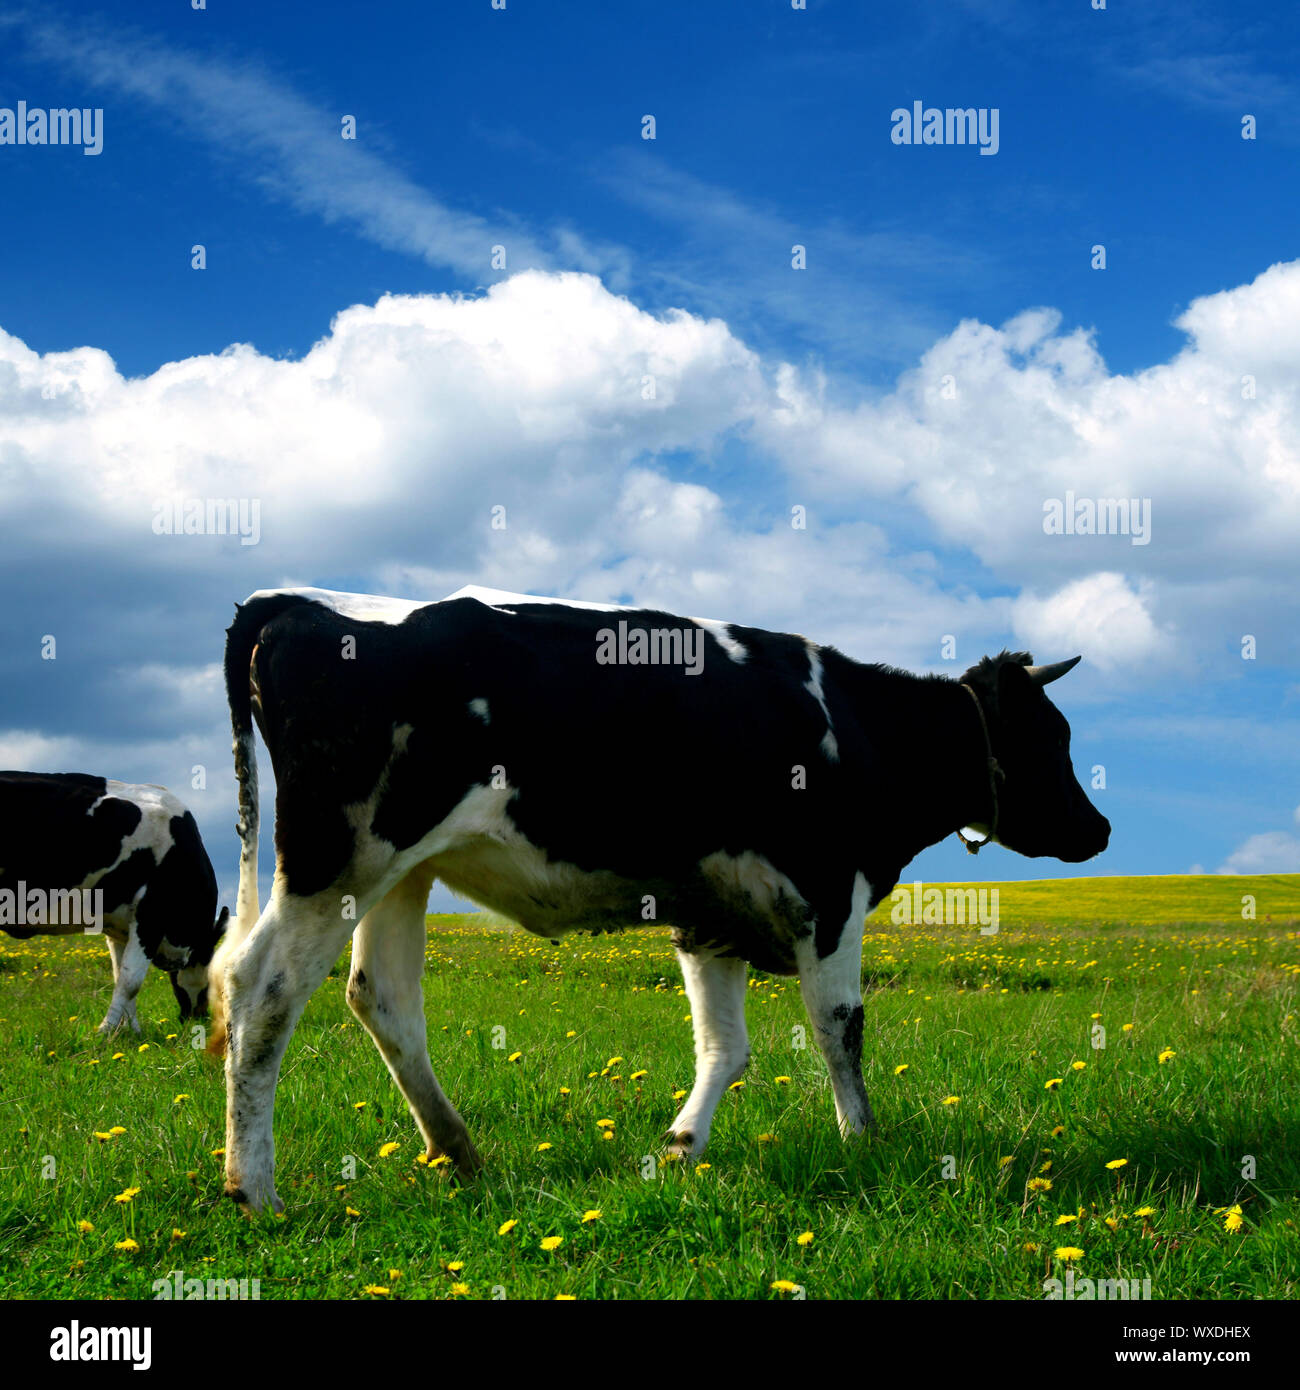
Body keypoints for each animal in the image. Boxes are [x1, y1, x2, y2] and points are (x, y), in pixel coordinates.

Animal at [0, 773, 228, 1033]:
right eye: (211, 970)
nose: (197, 1017)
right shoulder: (150, 917)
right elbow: (131, 982)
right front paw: (104, 1031)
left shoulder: (119, 927)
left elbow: (120, 975)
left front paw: (131, 1031)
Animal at [208, 584, 1109, 1213]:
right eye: (1054, 736)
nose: (1100, 828)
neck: (862, 730)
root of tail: (289, 602)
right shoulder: (830, 892)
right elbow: (839, 1027)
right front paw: (863, 1142)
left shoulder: (711, 916)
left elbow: (726, 1048)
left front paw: (683, 1146)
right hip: (339, 858)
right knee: (262, 989)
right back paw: (256, 1188)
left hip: (399, 873)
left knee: (381, 998)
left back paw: (458, 1150)